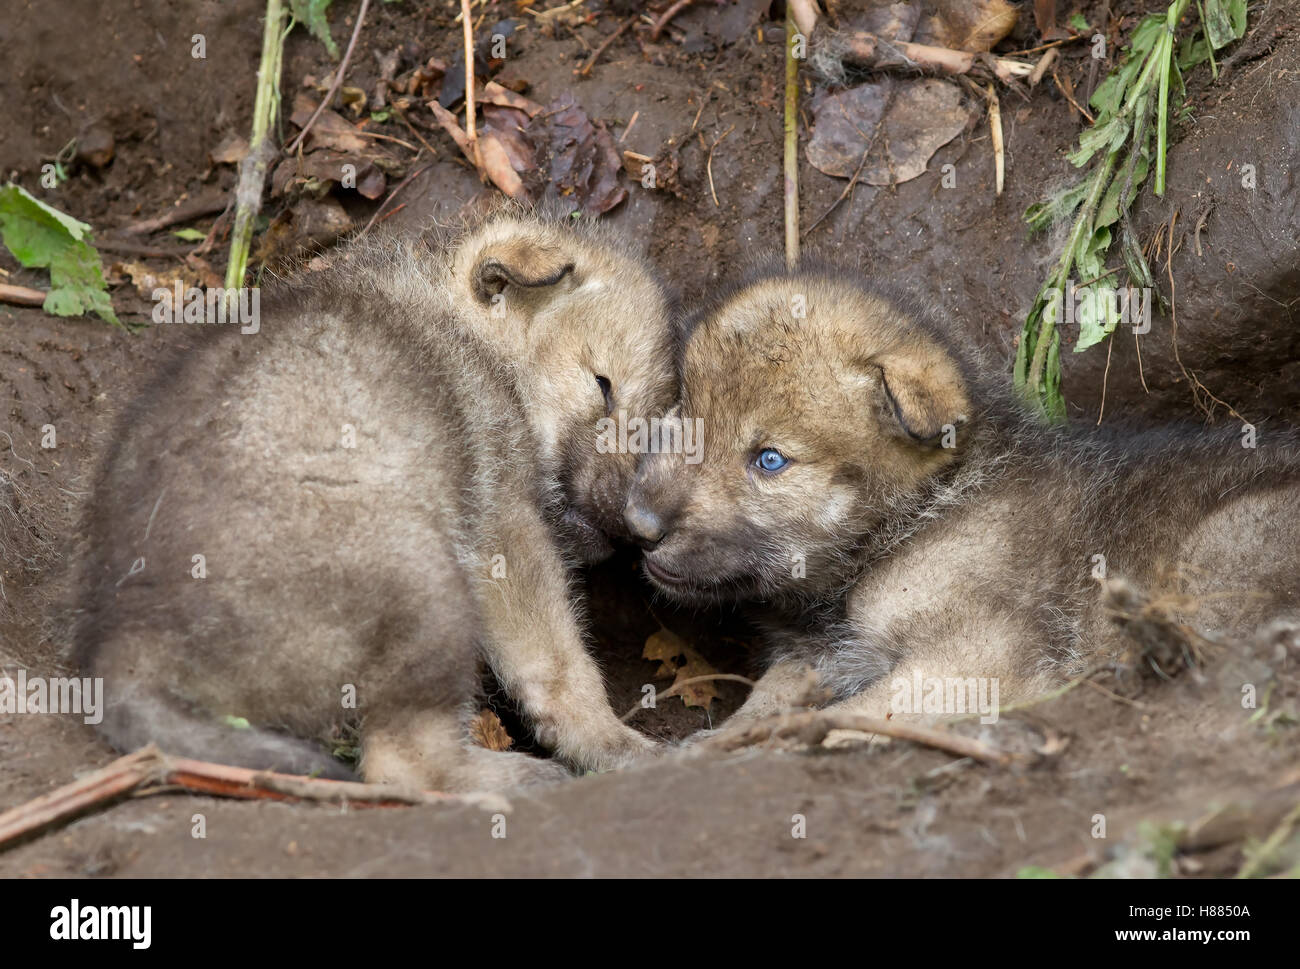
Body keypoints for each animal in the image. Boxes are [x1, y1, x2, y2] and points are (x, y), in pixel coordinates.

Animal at [70, 205, 676, 790]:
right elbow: (558, 661)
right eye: (602, 386)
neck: (463, 332)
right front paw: (612, 742)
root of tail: (130, 646)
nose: (630, 526)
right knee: (402, 764)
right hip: (425, 579)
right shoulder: (503, 522)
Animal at [624, 266, 1300, 725]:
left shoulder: (972, 660)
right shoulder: (820, 659)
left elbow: (838, 721)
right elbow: (765, 705)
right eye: (683, 417)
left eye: (769, 460)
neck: (924, 512)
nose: (639, 522)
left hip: (1222, 543)